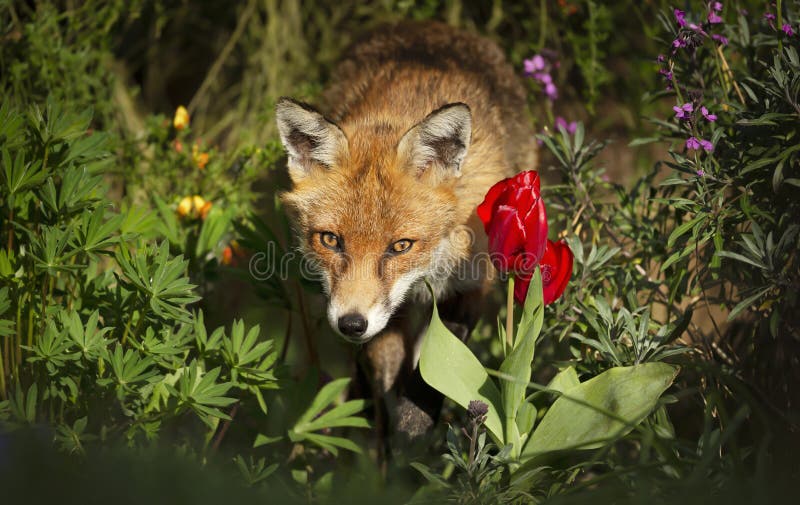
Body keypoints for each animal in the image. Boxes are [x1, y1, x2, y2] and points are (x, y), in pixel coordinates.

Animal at [275, 21, 536, 446]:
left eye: (400, 246)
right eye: (330, 240)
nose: (351, 324)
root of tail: (433, 26)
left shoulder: (471, 285)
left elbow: (439, 362)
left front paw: (416, 420)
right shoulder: (383, 321)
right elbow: (386, 380)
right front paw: (392, 435)